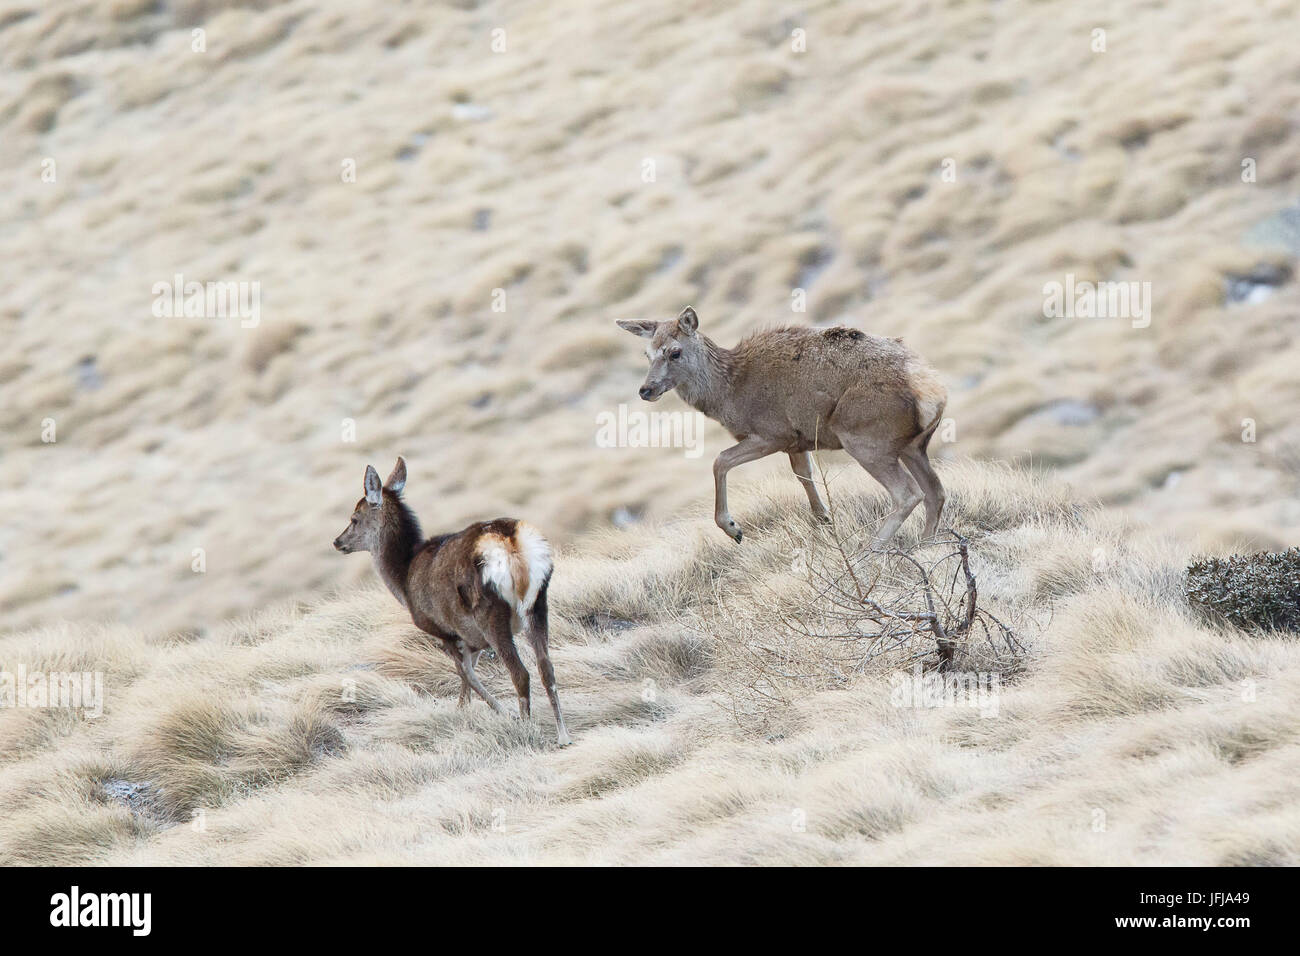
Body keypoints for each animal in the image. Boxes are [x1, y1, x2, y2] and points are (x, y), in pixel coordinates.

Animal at [333, 457, 572, 746]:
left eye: (354, 518)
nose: (338, 541)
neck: (404, 580)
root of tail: (511, 543)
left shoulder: (443, 629)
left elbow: (466, 674)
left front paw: (504, 713)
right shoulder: (471, 637)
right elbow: (468, 676)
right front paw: (464, 709)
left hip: (490, 612)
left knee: (520, 673)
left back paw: (525, 729)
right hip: (538, 602)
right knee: (546, 667)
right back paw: (563, 735)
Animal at [616, 307, 947, 548]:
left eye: (674, 352)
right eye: (647, 354)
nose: (646, 390)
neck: (729, 393)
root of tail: (931, 390)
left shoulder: (773, 433)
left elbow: (720, 461)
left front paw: (733, 529)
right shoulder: (797, 440)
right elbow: (803, 475)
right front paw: (824, 518)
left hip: (864, 436)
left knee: (908, 493)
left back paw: (871, 548)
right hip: (912, 446)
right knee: (936, 491)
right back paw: (926, 544)